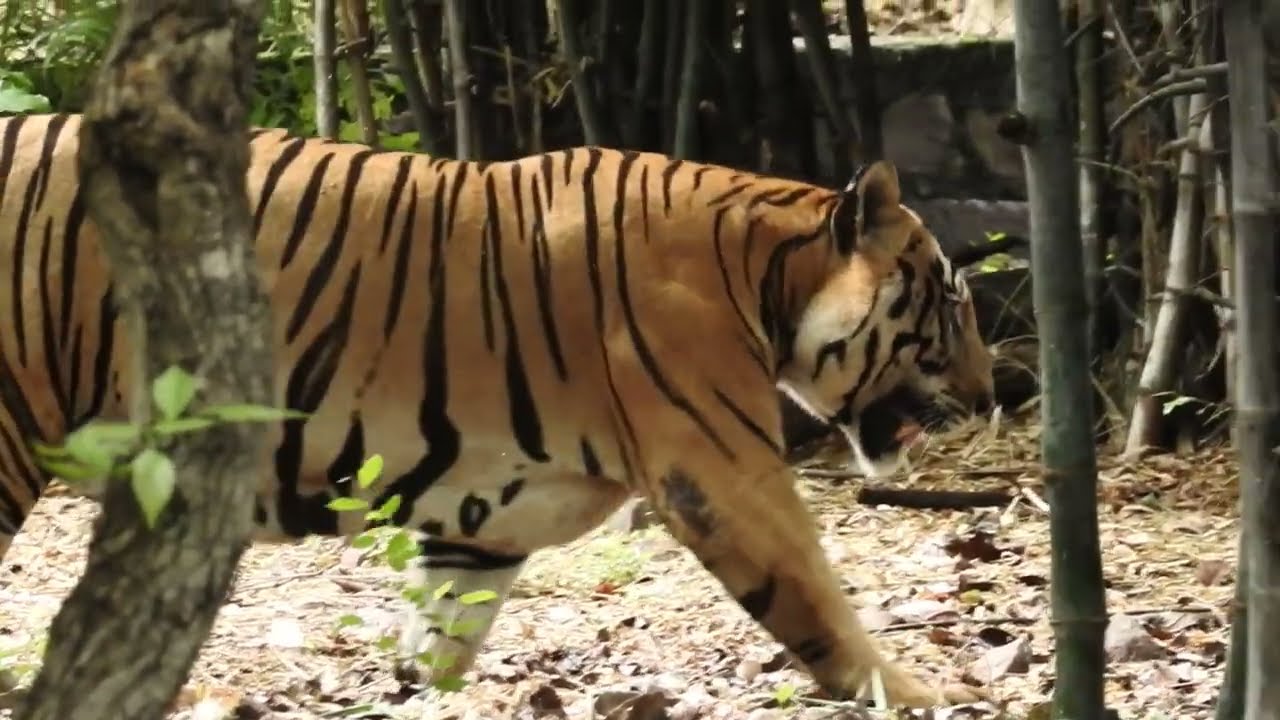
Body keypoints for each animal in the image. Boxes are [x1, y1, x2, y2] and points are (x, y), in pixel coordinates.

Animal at [0, 112, 996, 708]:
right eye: (954, 303)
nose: (991, 398)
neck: (771, 269)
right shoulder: (722, 472)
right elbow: (817, 597)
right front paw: (924, 695)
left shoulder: (481, 519)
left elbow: (438, 638)